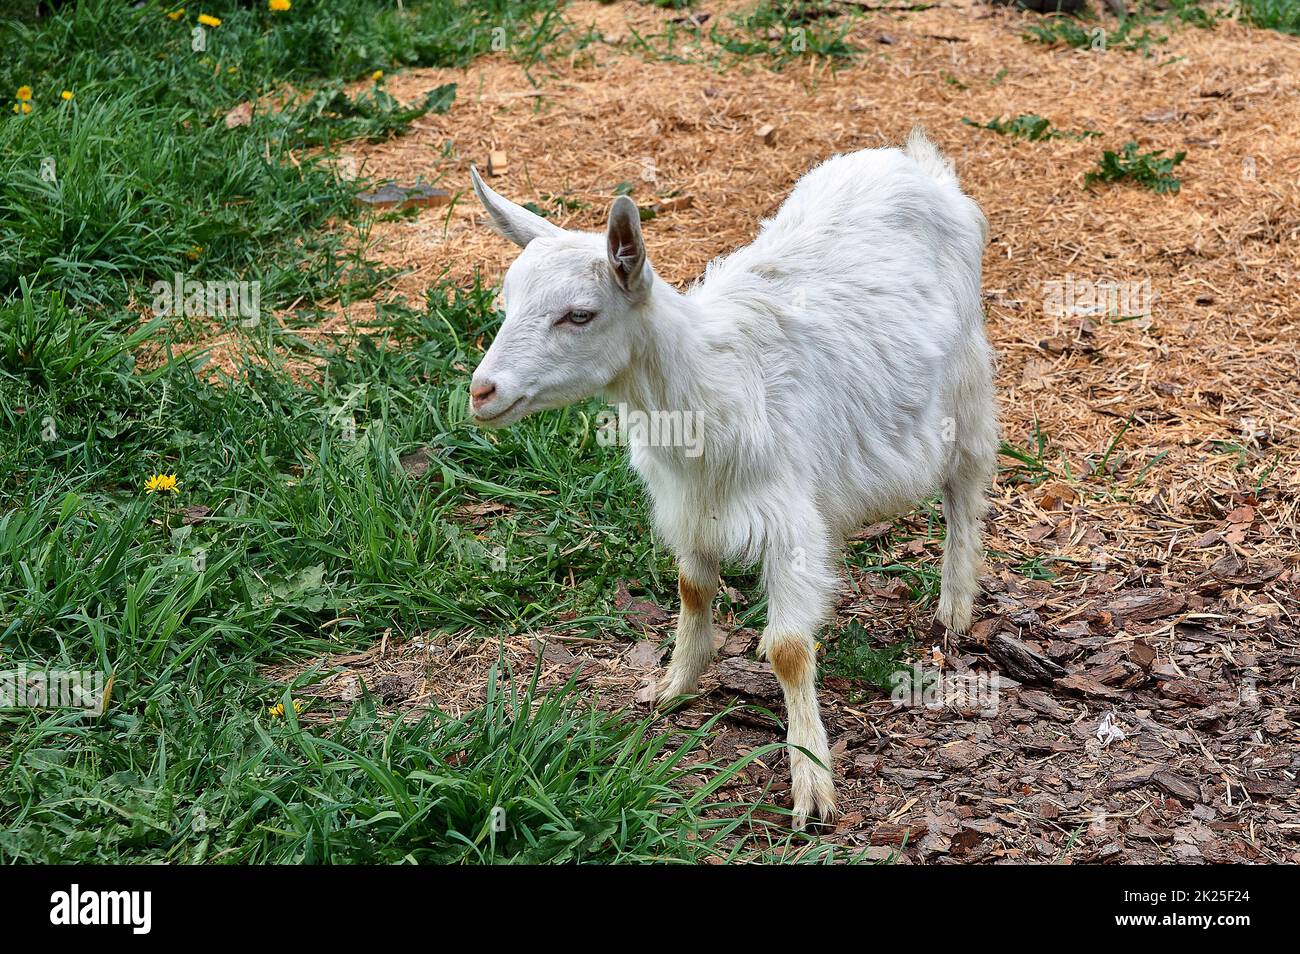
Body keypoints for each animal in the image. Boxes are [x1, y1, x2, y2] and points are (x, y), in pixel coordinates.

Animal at [466, 128, 997, 827]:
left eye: (579, 314)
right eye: (507, 303)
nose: (481, 392)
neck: (712, 380)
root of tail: (916, 164)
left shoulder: (784, 514)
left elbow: (789, 649)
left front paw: (812, 782)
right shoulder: (692, 503)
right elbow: (692, 588)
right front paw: (673, 686)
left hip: (965, 382)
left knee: (965, 487)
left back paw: (955, 608)